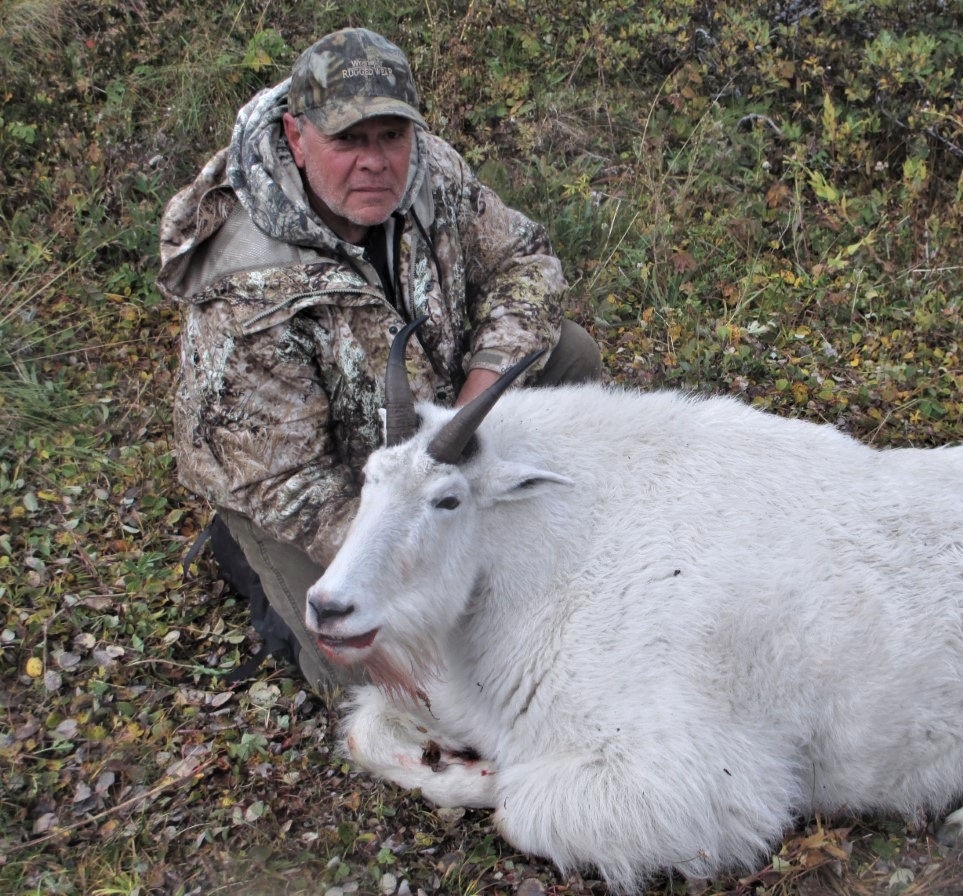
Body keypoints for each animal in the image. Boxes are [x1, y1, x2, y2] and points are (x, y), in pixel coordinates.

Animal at [306, 319, 963, 892]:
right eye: (368, 477)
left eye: (448, 500)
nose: (328, 608)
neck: (566, 552)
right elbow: (367, 734)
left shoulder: (696, 787)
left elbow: (515, 806)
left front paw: (487, 773)